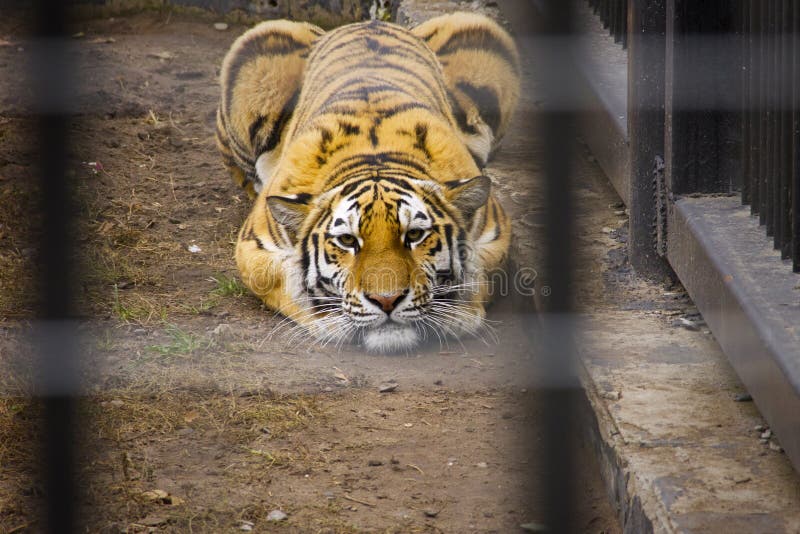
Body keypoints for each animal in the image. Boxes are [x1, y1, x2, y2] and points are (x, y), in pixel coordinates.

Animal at [215, 13, 520, 353]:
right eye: (347, 240)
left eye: (414, 235)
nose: (386, 300)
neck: (374, 158)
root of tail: (368, 22)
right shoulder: (253, 244)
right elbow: (281, 279)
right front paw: (329, 319)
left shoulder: (495, 232)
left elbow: (481, 271)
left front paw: (456, 313)